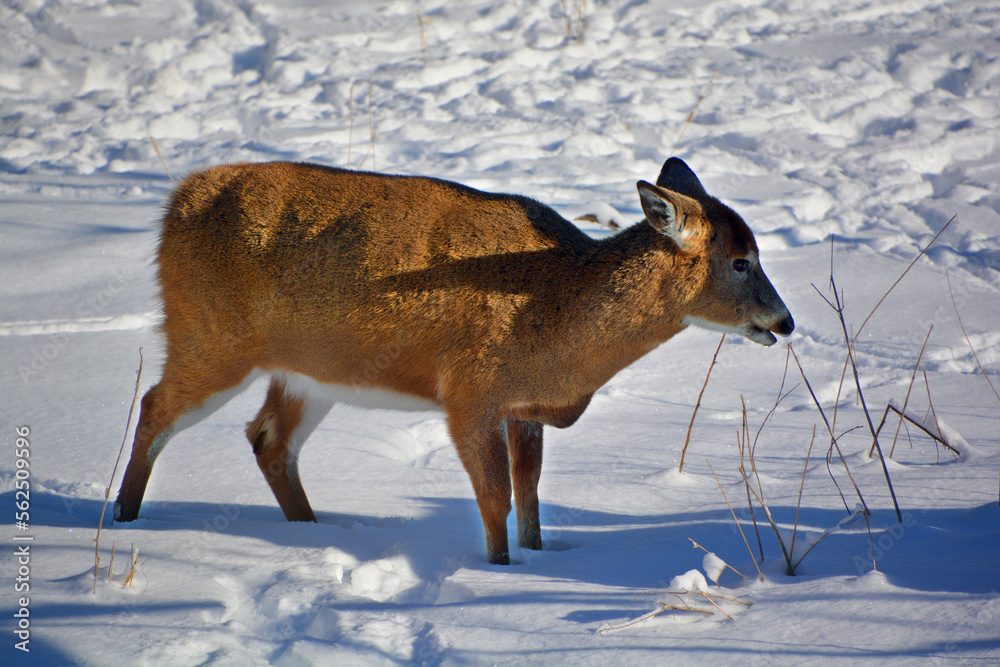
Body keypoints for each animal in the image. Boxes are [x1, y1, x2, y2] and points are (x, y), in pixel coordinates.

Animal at [112, 157, 793, 565]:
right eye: (740, 261)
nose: (785, 322)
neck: (557, 312)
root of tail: (177, 202)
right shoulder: (470, 392)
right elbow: (496, 501)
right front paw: (500, 571)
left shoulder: (524, 408)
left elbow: (531, 496)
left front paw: (535, 558)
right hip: (210, 336)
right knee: (154, 407)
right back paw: (125, 519)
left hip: (307, 371)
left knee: (268, 438)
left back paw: (309, 533)